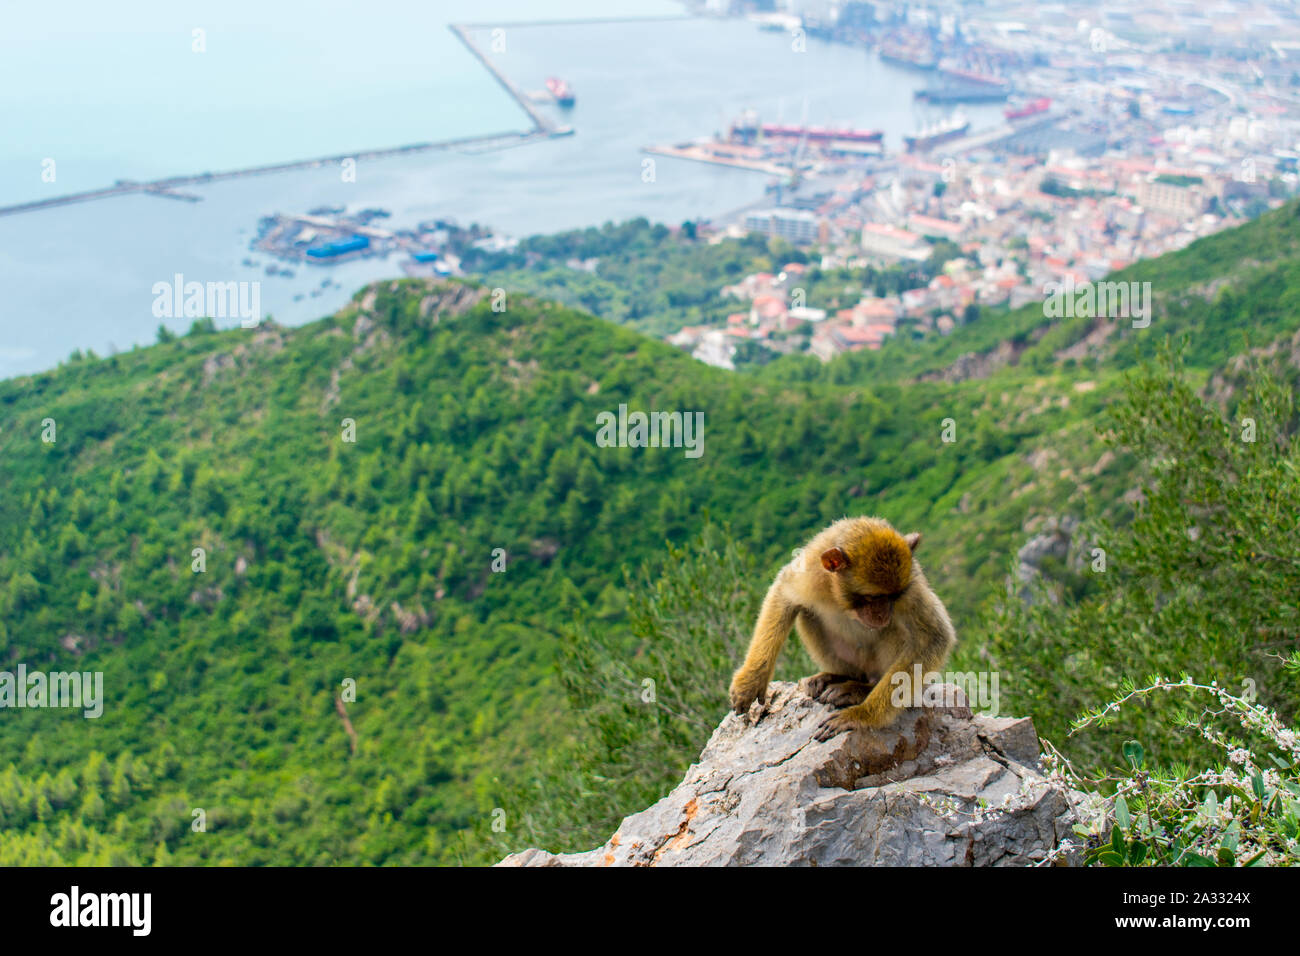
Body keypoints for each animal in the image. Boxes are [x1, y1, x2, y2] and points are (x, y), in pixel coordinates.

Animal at [728, 516, 956, 741]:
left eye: (894, 597)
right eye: (872, 598)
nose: (883, 616)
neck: (836, 592)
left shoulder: (911, 589)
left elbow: (935, 637)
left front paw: (861, 715)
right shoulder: (809, 573)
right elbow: (784, 593)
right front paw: (752, 680)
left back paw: (861, 689)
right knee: (807, 614)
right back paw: (838, 677)